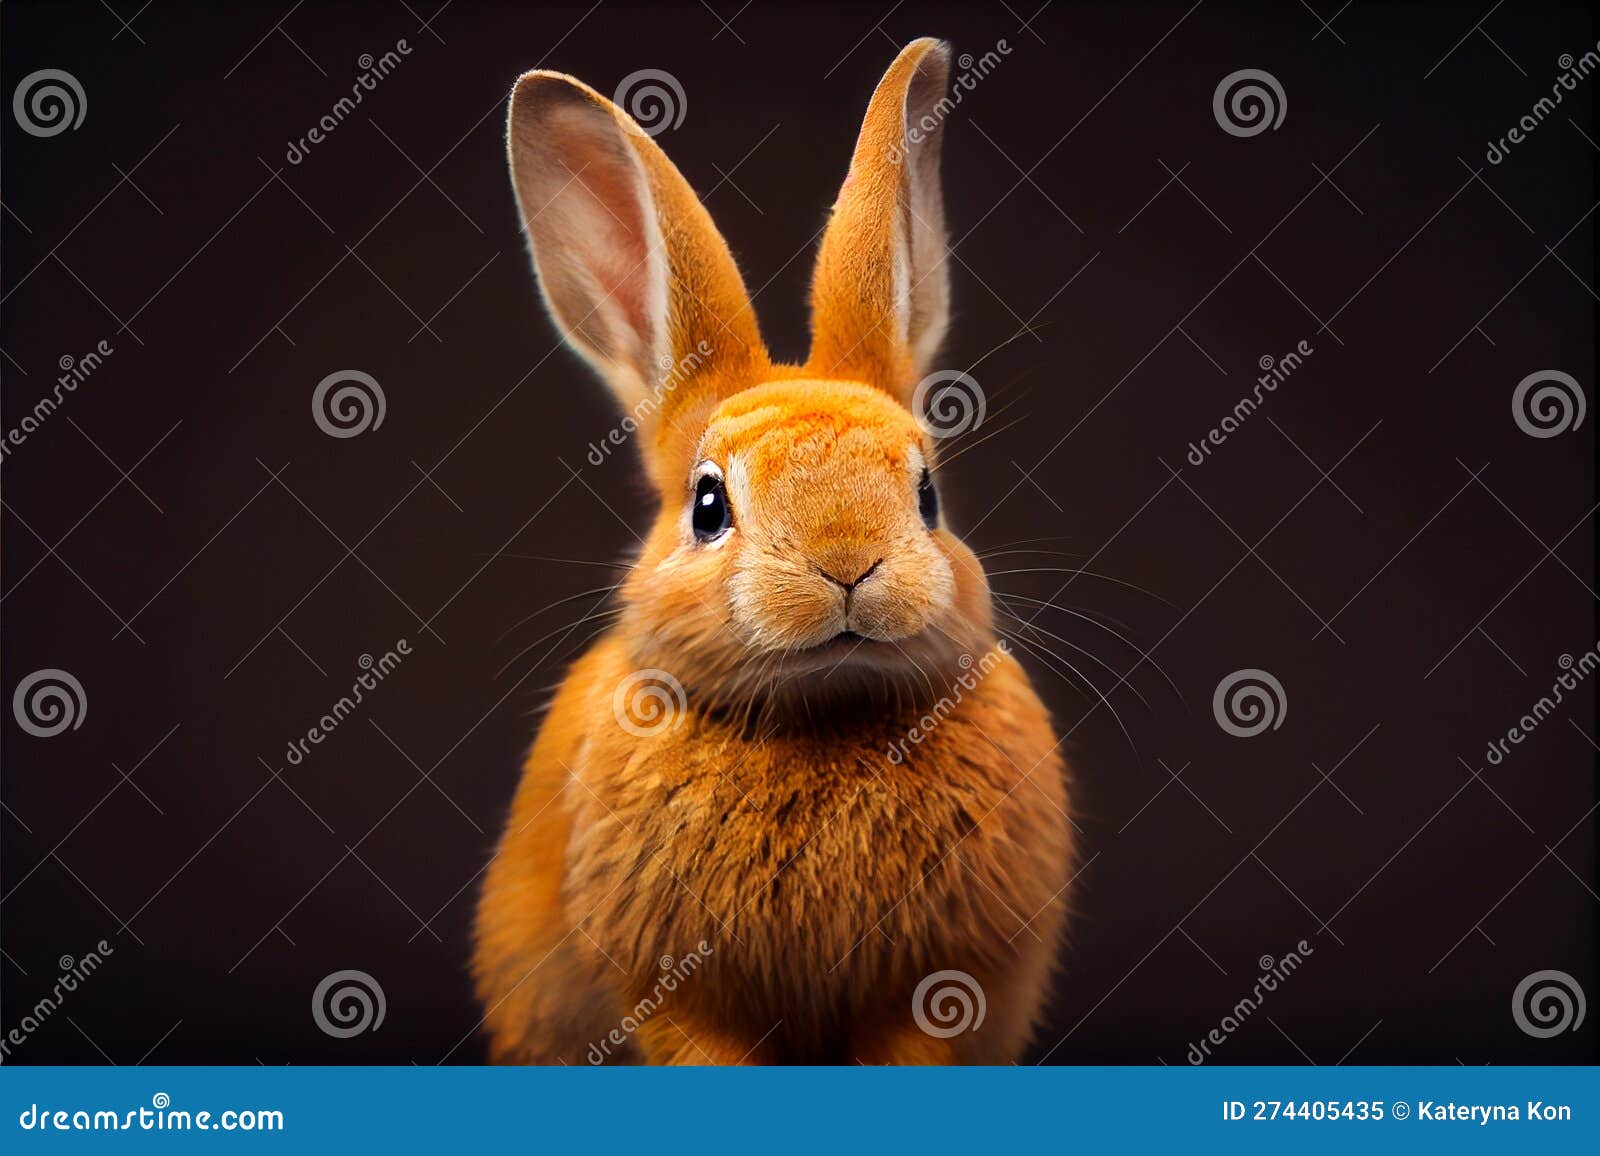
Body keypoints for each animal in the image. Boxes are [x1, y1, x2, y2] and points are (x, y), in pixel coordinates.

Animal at [473, 37, 1074, 1065]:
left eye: (928, 494)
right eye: (709, 504)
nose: (847, 565)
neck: (822, 713)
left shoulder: (939, 988)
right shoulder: (671, 995)